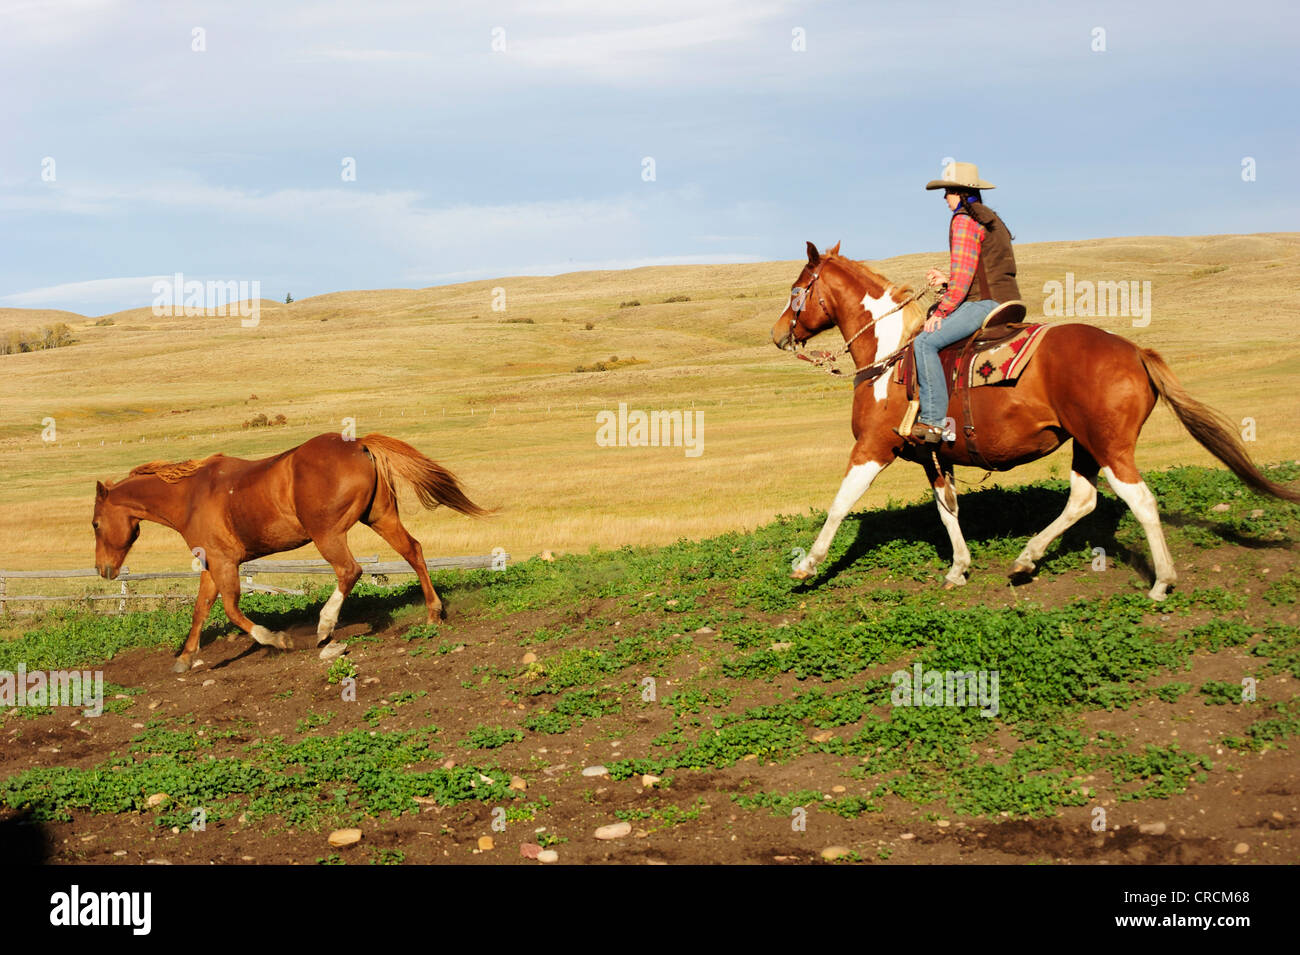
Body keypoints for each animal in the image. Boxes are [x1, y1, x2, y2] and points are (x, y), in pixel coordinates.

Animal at [93, 432, 487, 672]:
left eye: (95, 524)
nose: (102, 570)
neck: (190, 496)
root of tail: (359, 444)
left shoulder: (224, 562)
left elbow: (232, 609)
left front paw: (277, 639)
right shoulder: (211, 563)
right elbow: (201, 609)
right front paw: (185, 658)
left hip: (328, 534)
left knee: (350, 571)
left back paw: (325, 629)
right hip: (380, 518)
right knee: (413, 551)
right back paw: (434, 614)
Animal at [771, 241, 1299, 598]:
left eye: (797, 291)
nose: (778, 335)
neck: (890, 354)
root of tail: (1135, 352)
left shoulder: (873, 447)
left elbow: (840, 505)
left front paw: (806, 565)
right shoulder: (934, 457)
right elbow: (948, 510)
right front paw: (959, 567)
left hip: (1110, 446)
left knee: (1140, 500)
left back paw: (1161, 582)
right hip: (1085, 444)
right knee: (1083, 499)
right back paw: (1026, 559)